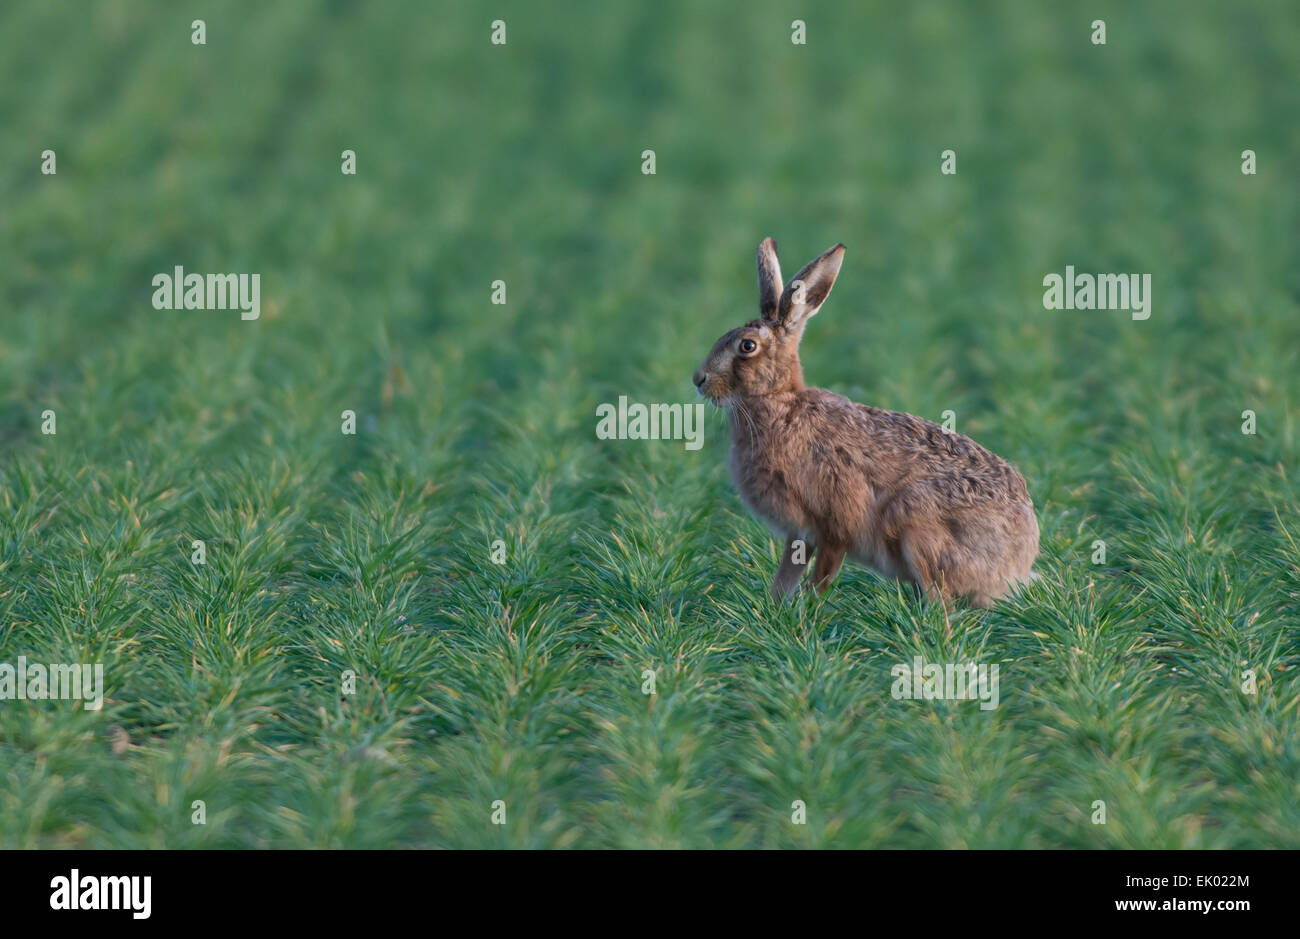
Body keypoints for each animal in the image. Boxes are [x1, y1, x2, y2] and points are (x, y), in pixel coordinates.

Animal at [692, 237, 1039, 607]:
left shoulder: (834, 523)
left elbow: (822, 575)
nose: (699, 379)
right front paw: (776, 608)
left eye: (747, 346)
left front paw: (806, 613)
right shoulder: (799, 534)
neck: (778, 401)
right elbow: (787, 574)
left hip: (917, 525)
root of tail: (1018, 560)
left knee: (940, 601)